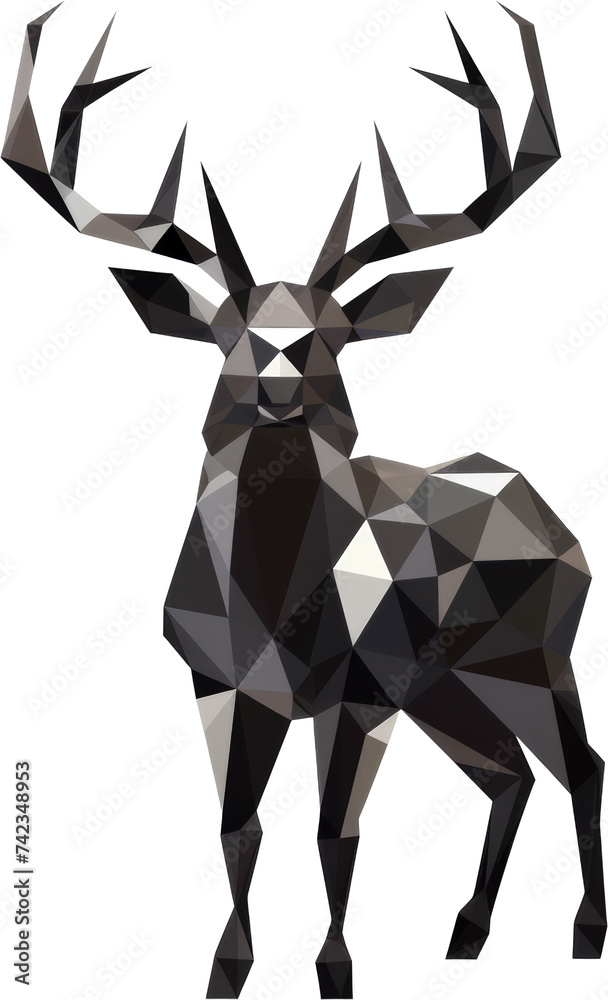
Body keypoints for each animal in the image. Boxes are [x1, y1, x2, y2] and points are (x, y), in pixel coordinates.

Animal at [4, 5, 605, 998]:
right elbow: (237, 830)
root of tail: (552, 518)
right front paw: (227, 967)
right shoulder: (219, 685)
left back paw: (584, 933)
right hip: (446, 686)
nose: (280, 379)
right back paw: (466, 935)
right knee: (508, 776)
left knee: (580, 767)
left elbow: (334, 836)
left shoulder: (357, 690)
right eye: (227, 332)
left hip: (534, 657)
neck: (274, 605)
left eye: (335, 333)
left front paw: (336, 970)